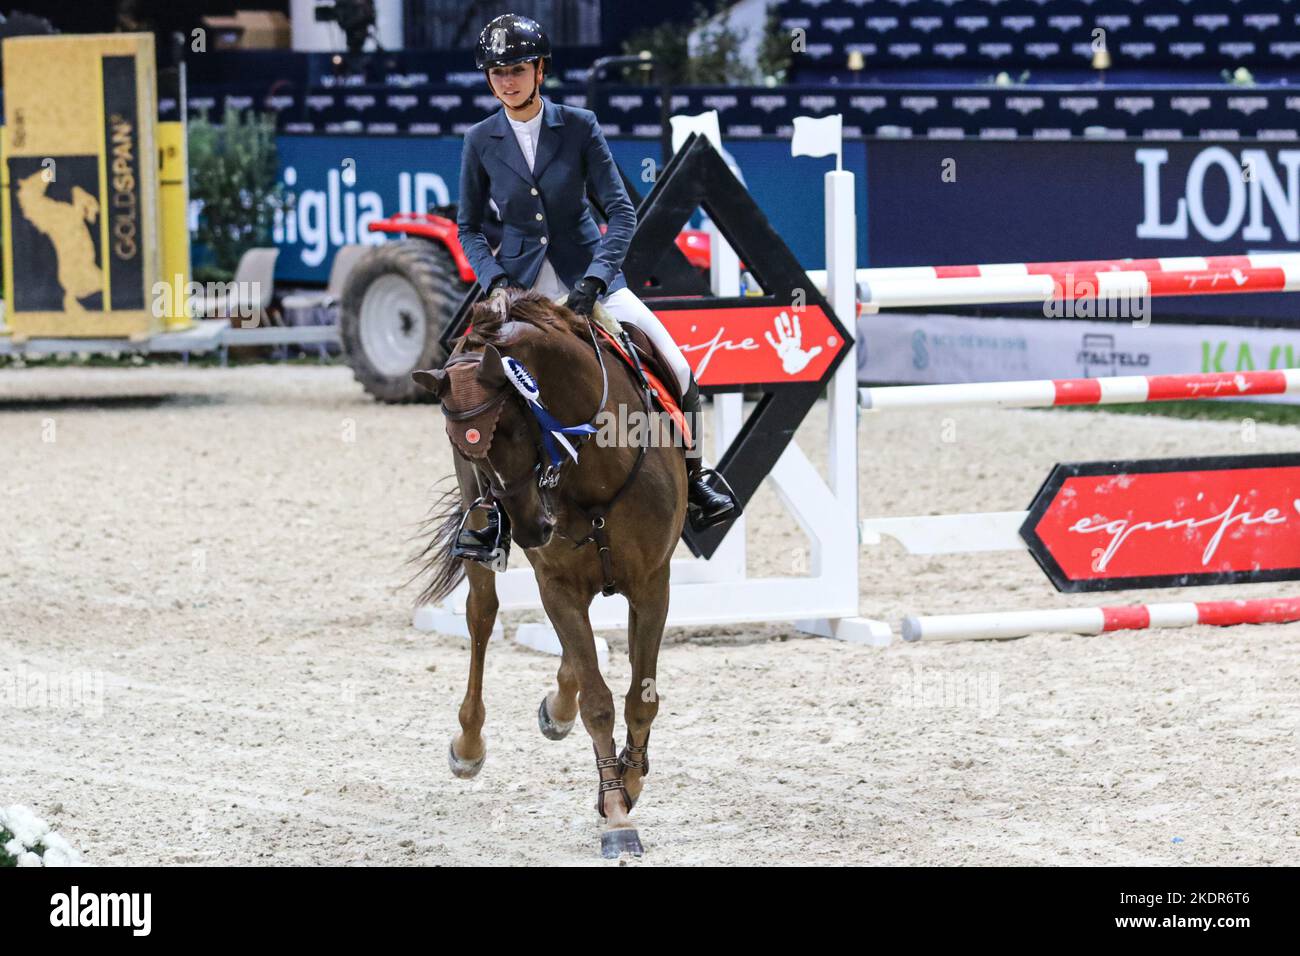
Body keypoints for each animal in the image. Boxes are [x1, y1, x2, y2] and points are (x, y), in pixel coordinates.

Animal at [411, 289, 688, 858]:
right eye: (464, 445)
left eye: (517, 425)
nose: (531, 529)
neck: (595, 465)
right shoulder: (556, 587)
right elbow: (599, 703)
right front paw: (616, 814)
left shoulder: (653, 584)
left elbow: (641, 699)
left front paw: (629, 782)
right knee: (482, 617)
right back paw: (469, 744)